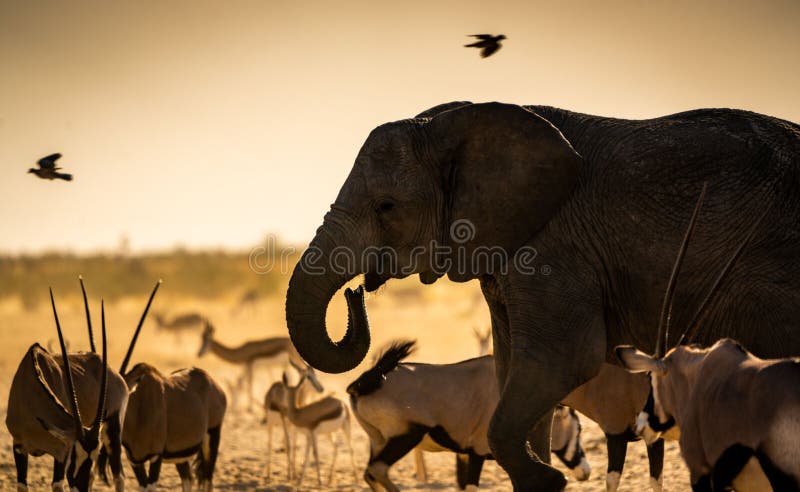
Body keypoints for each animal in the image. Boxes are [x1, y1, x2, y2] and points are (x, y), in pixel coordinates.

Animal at [285, 101, 800, 490]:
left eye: (386, 207)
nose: (357, 291)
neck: (458, 122)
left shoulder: (558, 248)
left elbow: (561, 361)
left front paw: (547, 478)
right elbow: (513, 368)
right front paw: (544, 475)